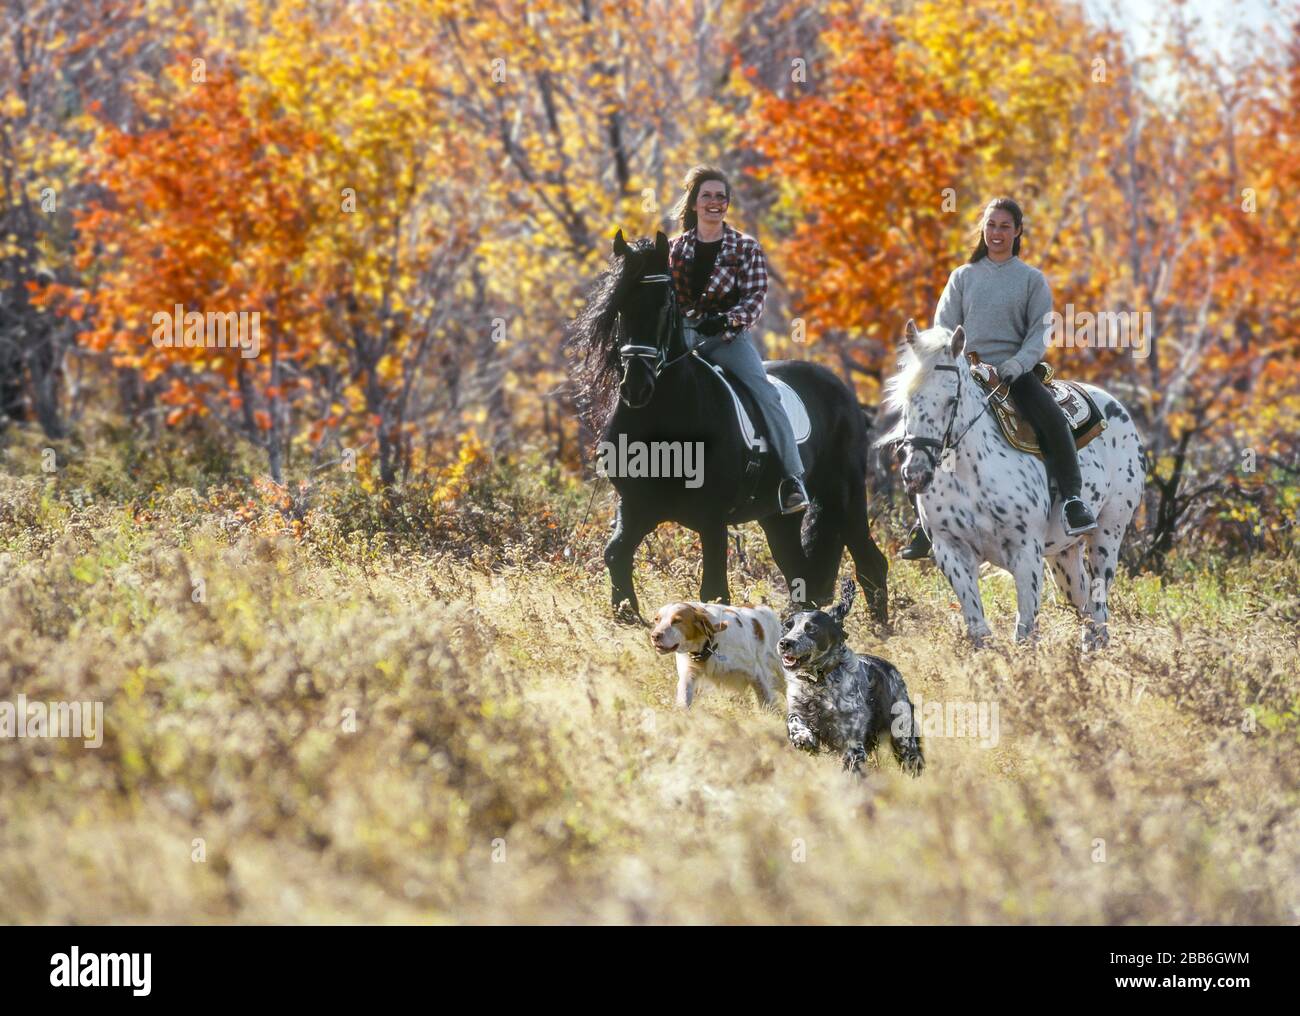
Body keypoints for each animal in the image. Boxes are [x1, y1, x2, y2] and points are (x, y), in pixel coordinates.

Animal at [568, 229, 889, 626]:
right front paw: (626, 616)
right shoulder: (637, 505)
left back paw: (880, 631)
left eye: (665, 305)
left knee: (870, 562)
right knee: (800, 573)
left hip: (843, 496)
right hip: (778, 519)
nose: (636, 388)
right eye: (620, 304)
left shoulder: (712, 519)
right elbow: (616, 555)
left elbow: (714, 591)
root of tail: (842, 391)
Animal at [880, 320, 1144, 649]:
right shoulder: (950, 551)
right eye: (906, 399)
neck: (969, 473)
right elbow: (979, 630)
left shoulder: (1026, 552)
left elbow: (1025, 632)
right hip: (1063, 555)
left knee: (1098, 608)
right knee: (1084, 605)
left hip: (1108, 534)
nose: (915, 473)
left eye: (951, 399)